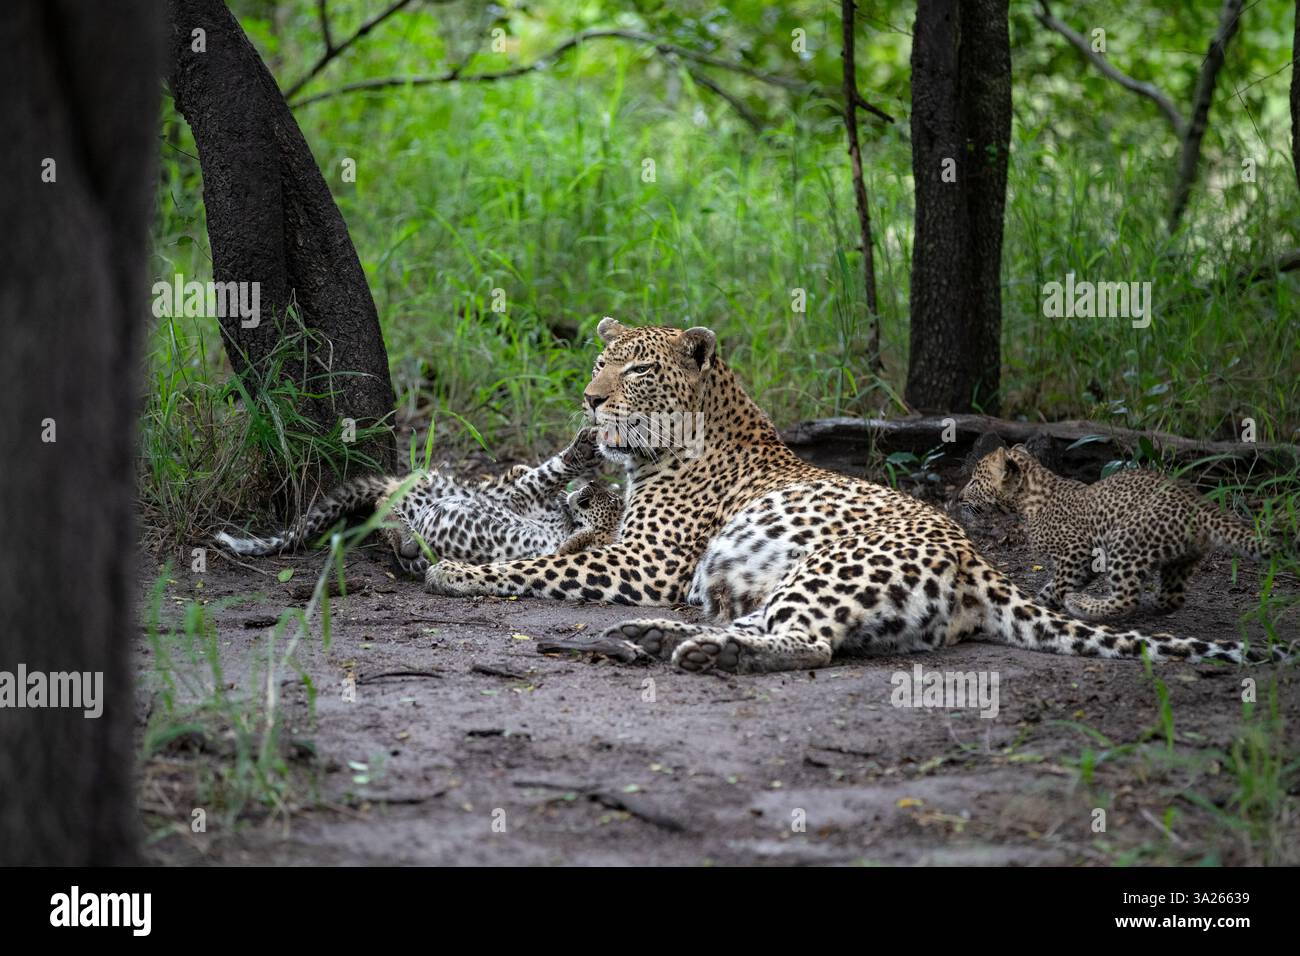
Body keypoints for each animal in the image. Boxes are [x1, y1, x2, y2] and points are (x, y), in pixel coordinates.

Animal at [215, 428, 621, 574]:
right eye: (605, 495)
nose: (590, 488)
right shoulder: (522, 500)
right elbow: (547, 475)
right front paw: (585, 448)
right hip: (462, 490)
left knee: (383, 509)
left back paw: (408, 541)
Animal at [957, 444, 1275, 622]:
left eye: (974, 481)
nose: (958, 498)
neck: (1029, 498)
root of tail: (1198, 502)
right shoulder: (1084, 563)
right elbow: (1052, 587)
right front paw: (1037, 603)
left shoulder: (1076, 553)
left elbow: (1059, 585)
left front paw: (1047, 604)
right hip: (1181, 559)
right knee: (1171, 598)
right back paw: (1149, 606)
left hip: (1126, 541)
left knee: (1126, 598)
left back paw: (1083, 605)